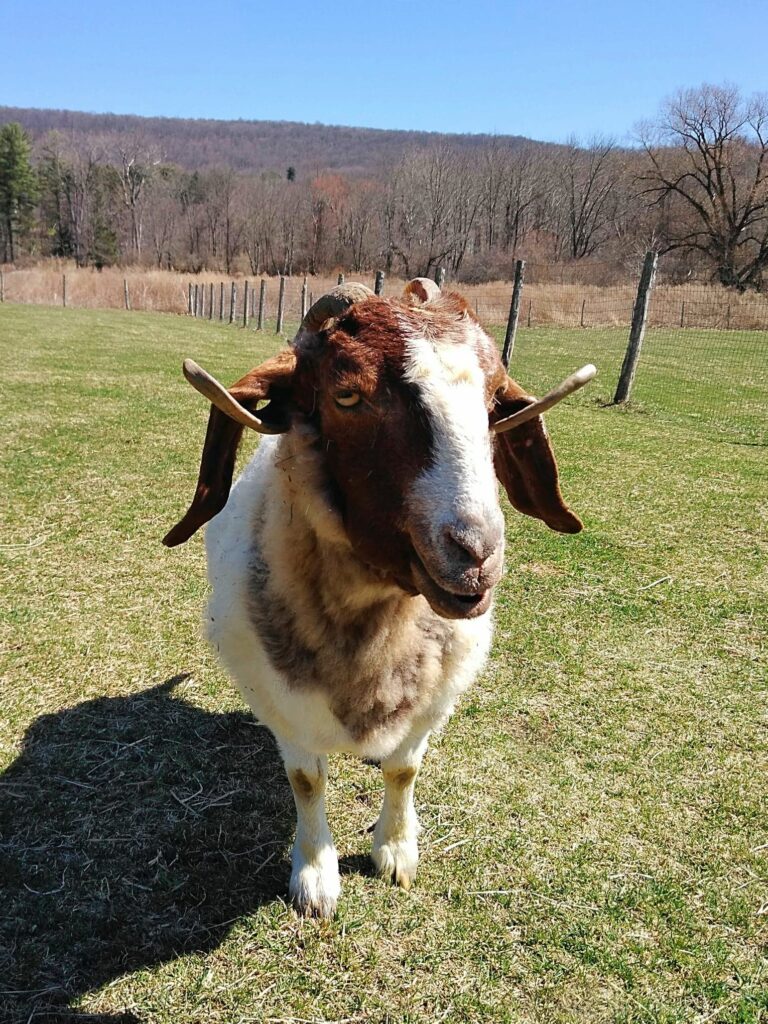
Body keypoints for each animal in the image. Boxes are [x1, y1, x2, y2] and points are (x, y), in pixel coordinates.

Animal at [163, 279, 594, 917]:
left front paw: (395, 850)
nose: (476, 553)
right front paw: (316, 876)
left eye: (495, 399)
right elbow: (307, 782)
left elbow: (404, 770)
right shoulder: (285, 706)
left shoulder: (433, 699)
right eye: (346, 394)